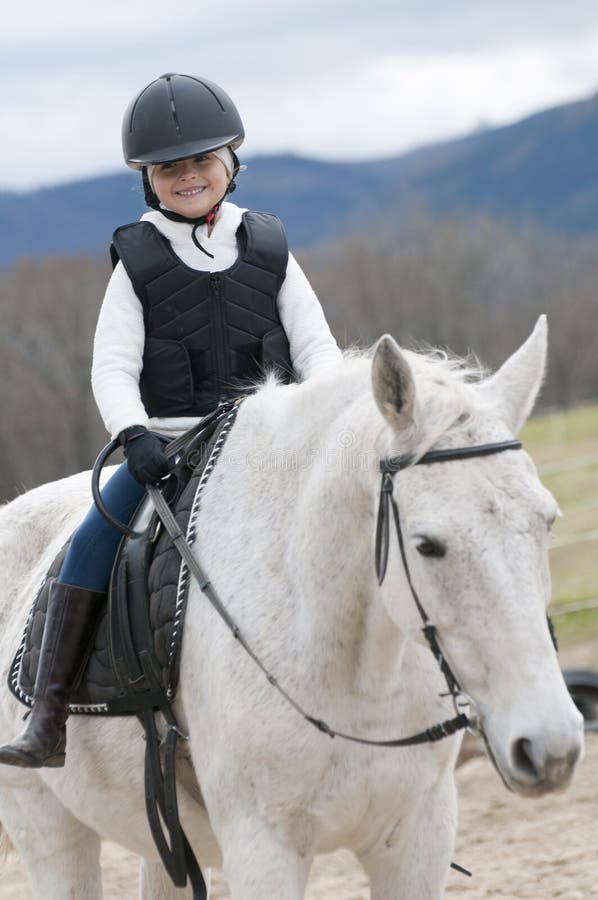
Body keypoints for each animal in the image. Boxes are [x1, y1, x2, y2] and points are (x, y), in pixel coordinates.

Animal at [0, 316, 583, 899]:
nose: (550, 747)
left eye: (547, 521)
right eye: (427, 545)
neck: (356, 675)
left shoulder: (420, 836)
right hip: (50, 832)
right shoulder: (262, 846)